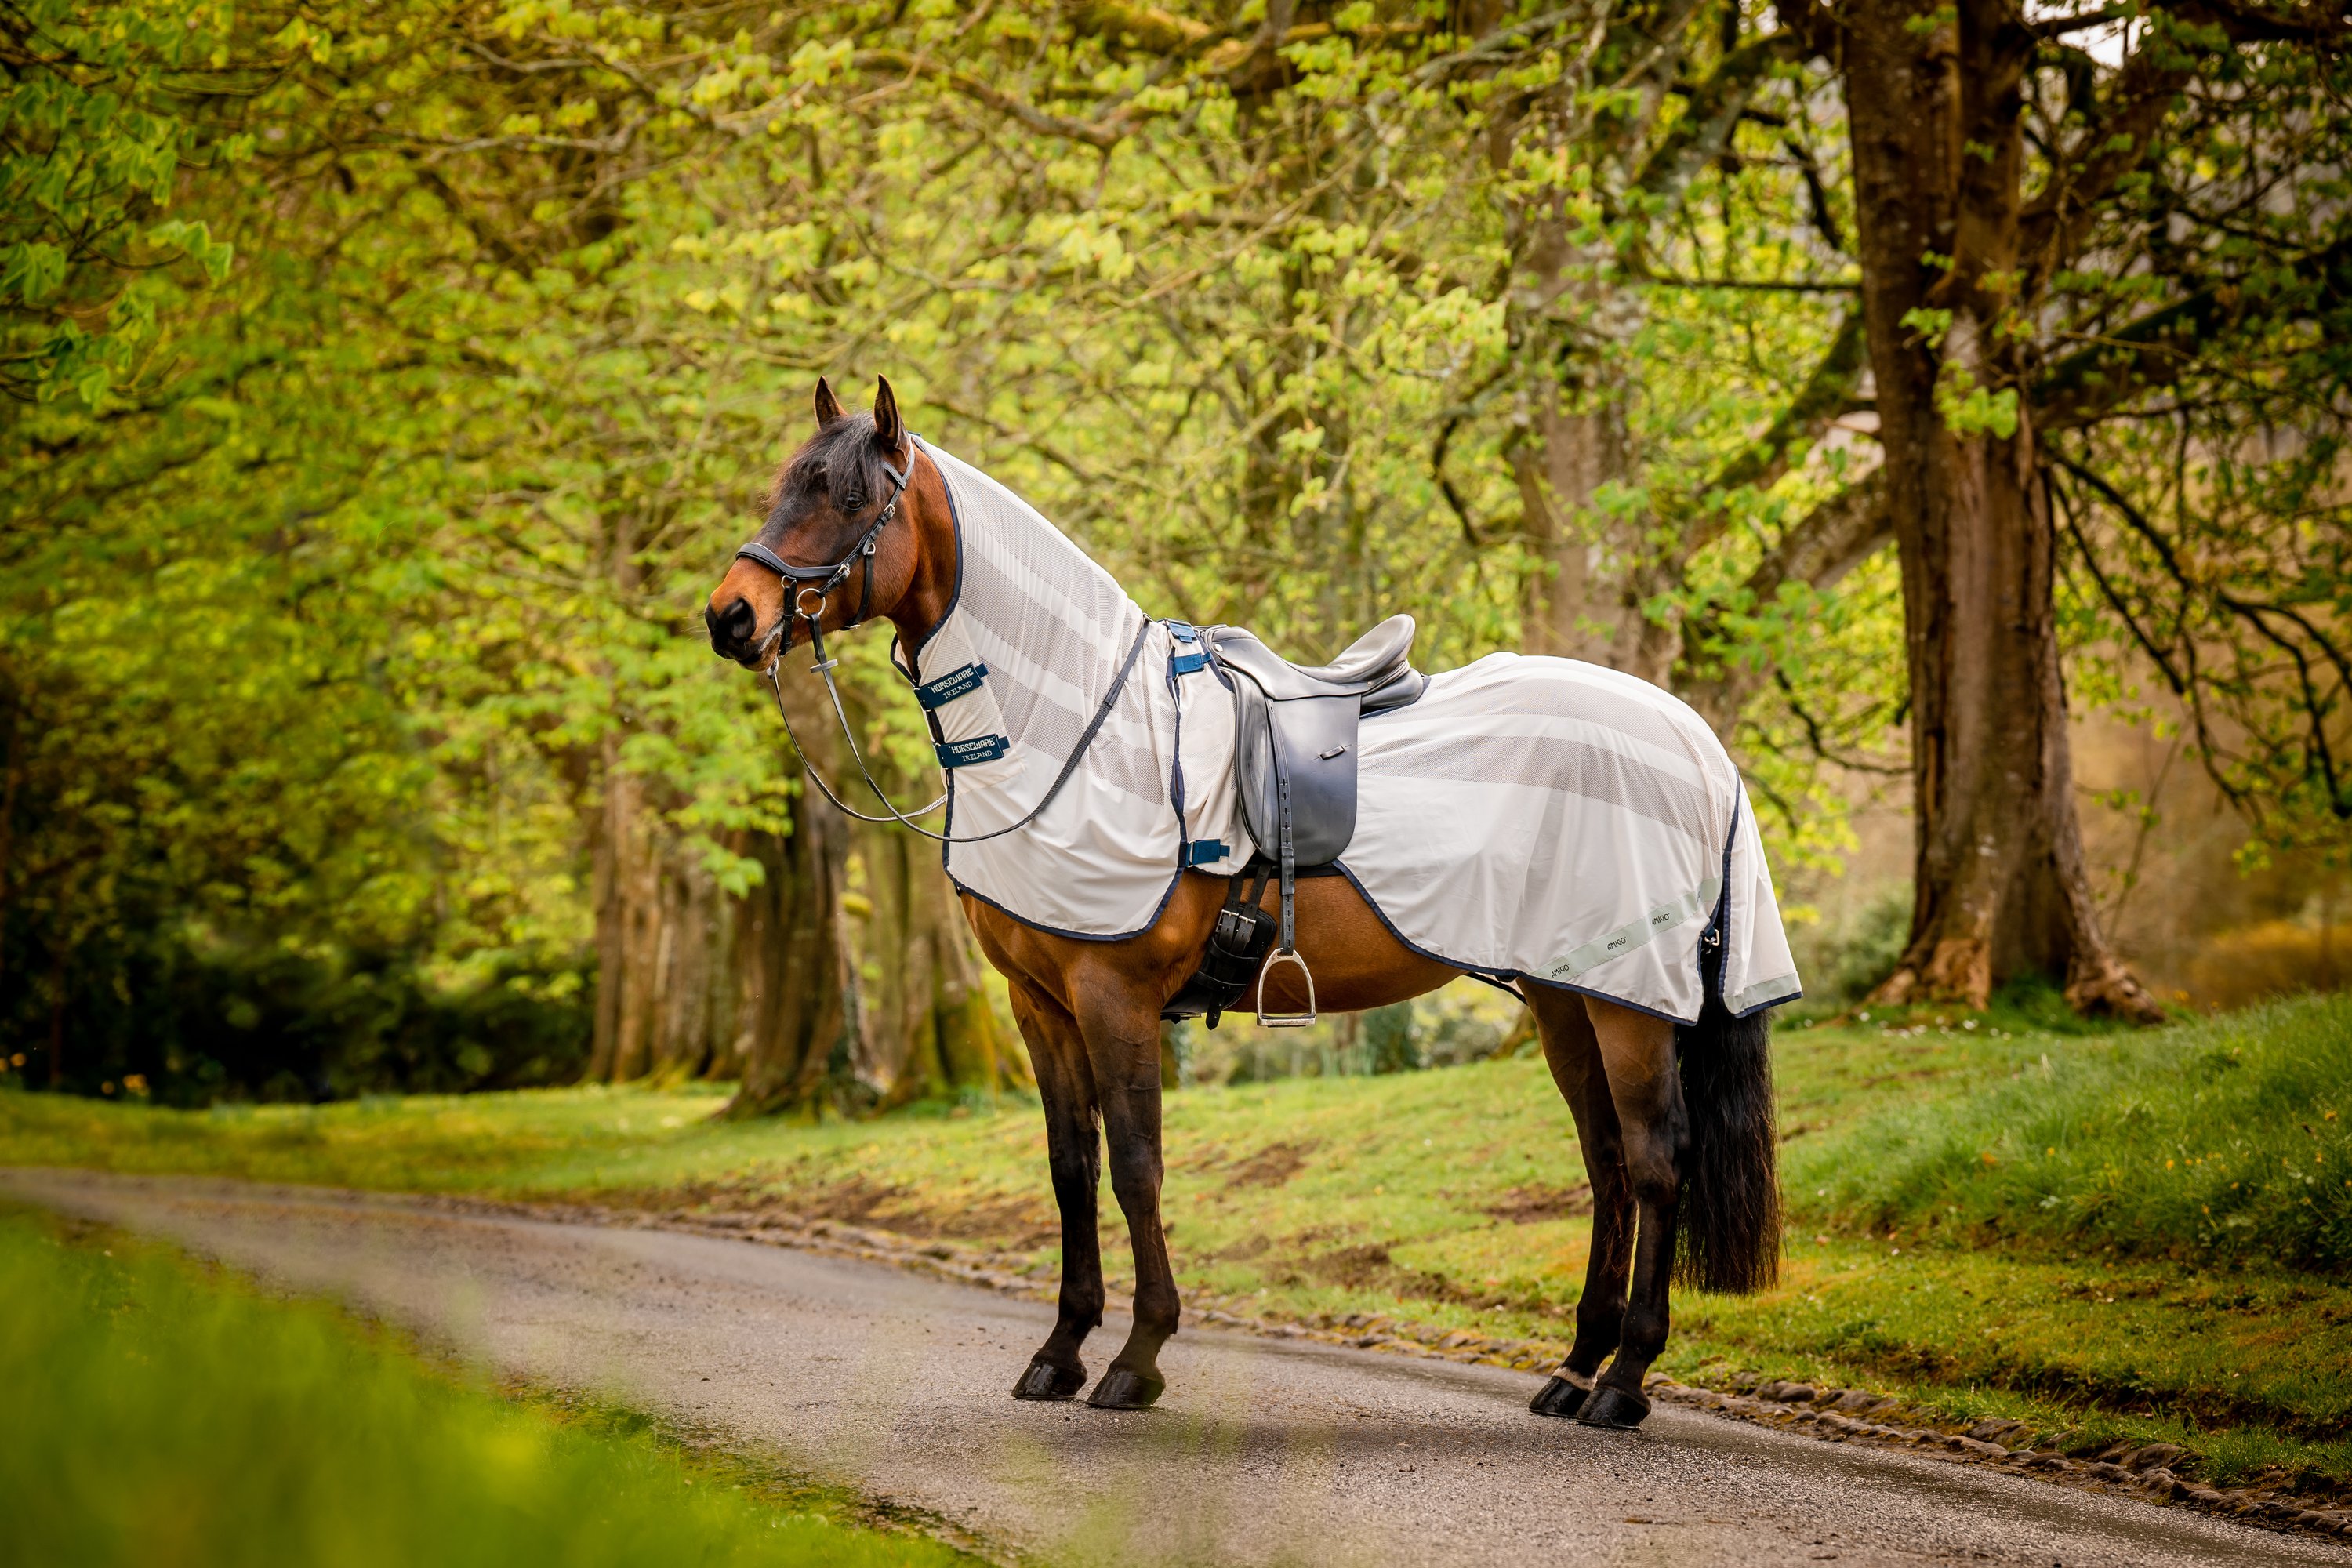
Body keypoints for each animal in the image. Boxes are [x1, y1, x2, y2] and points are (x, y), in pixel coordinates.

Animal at [705, 375, 1790, 1430]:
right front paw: (1060, 1350)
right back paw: (1572, 1369)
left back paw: (1626, 1380)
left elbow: (1137, 1165)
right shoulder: (1039, 1004)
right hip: (1570, 991)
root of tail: (1691, 737)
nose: (730, 617)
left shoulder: (1114, 994)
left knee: (1655, 1160)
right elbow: (1071, 1169)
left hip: (1628, 999)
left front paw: (1138, 1357)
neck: (1078, 729)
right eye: (783, 484)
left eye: (849, 498)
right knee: (1606, 1161)